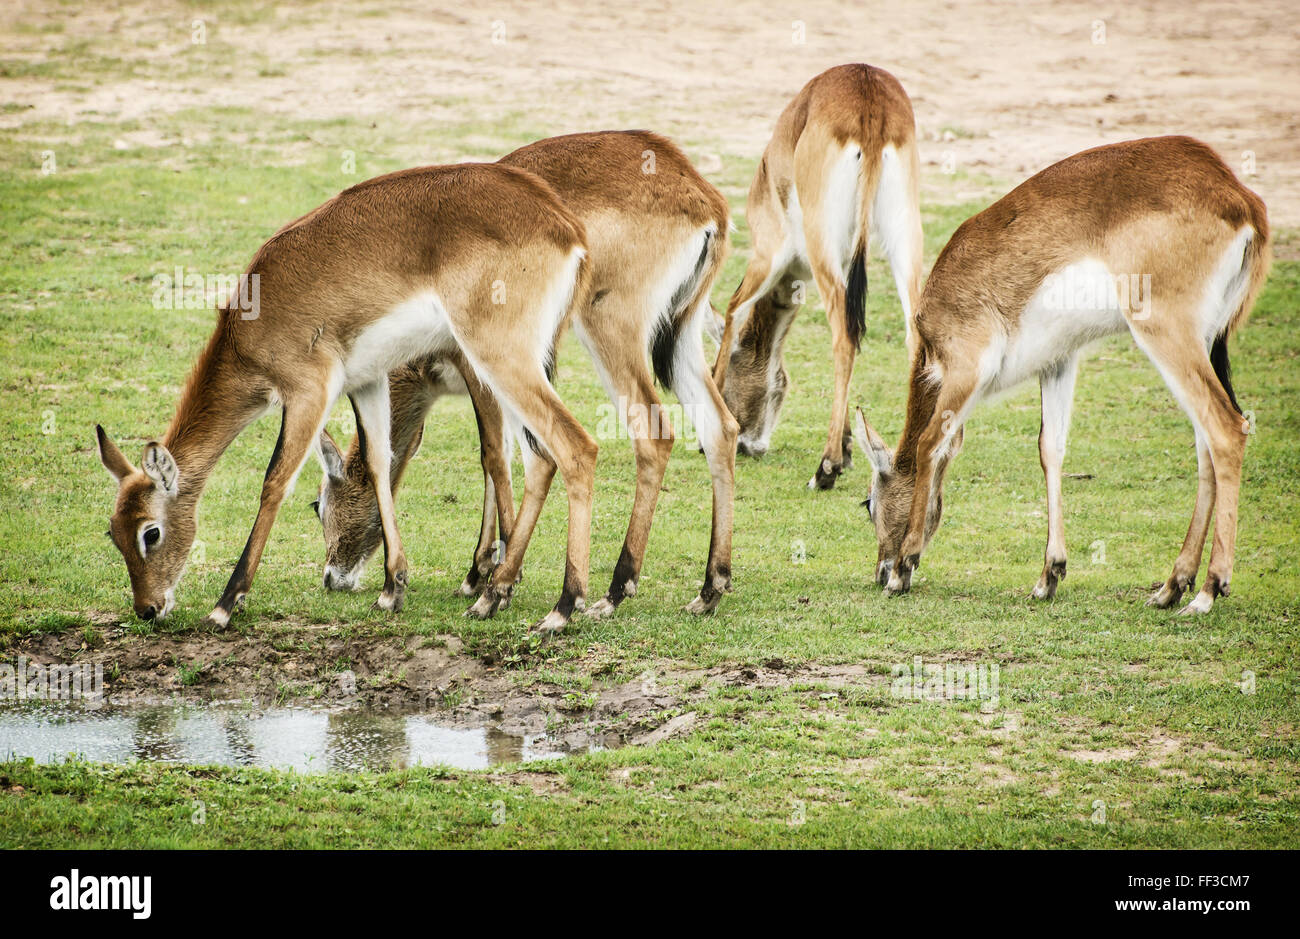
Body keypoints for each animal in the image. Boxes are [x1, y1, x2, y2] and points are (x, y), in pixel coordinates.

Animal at [96, 161, 603, 634]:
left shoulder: (309, 391)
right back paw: (493, 595)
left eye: (150, 532)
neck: (251, 321)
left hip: (497, 360)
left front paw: (225, 604)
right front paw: (392, 589)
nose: (147, 608)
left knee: (575, 447)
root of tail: (566, 226)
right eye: (112, 532)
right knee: (539, 458)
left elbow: (274, 482)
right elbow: (380, 463)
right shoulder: (367, 380)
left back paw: (561, 606)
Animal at [314, 130, 739, 621]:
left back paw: (613, 590)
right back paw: (709, 588)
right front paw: (484, 573)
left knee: (652, 434)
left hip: (606, 332)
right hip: (681, 335)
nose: (332, 577)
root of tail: (698, 192)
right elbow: (510, 456)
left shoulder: (481, 372)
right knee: (721, 427)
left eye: (317, 504)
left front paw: (494, 578)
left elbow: (494, 457)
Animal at [712, 63, 924, 490]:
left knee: (845, 336)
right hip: (904, 239)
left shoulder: (767, 254)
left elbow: (733, 309)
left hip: (820, 245)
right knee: (912, 332)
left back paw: (825, 469)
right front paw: (848, 445)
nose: (745, 445)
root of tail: (869, 97)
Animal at [852, 136, 1270, 614]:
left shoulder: (965, 368)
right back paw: (1172, 586)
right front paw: (1049, 575)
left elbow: (927, 445)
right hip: (1202, 341)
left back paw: (1208, 590)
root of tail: (1241, 199)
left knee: (1226, 428)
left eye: (867, 503)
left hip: (1165, 334)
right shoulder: (1058, 361)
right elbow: (1049, 449)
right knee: (1206, 444)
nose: (879, 568)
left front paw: (904, 567)